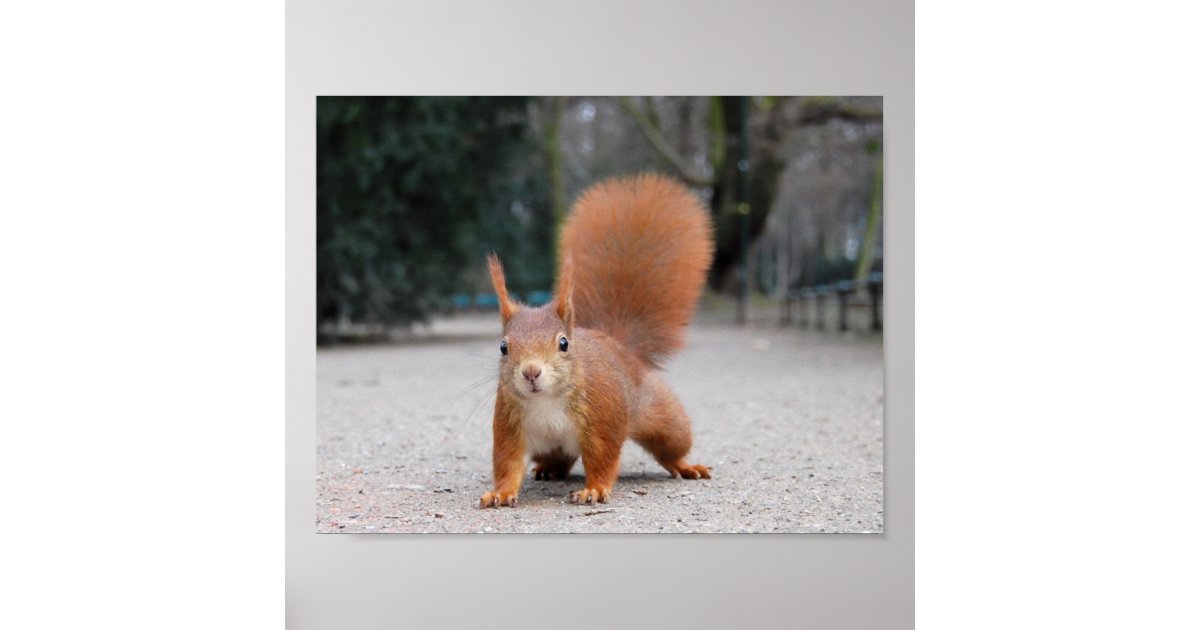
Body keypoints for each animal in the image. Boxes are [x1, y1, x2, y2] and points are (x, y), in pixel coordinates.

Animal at [480, 173, 714, 508]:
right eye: (503, 347)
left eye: (564, 343)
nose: (531, 372)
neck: (546, 400)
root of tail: (617, 344)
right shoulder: (510, 427)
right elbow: (508, 464)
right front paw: (500, 493)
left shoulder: (603, 420)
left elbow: (602, 459)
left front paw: (594, 489)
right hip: (549, 446)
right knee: (559, 458)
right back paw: (549, 469)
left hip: (663, 417)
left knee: (671, 446)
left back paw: (685, 465)